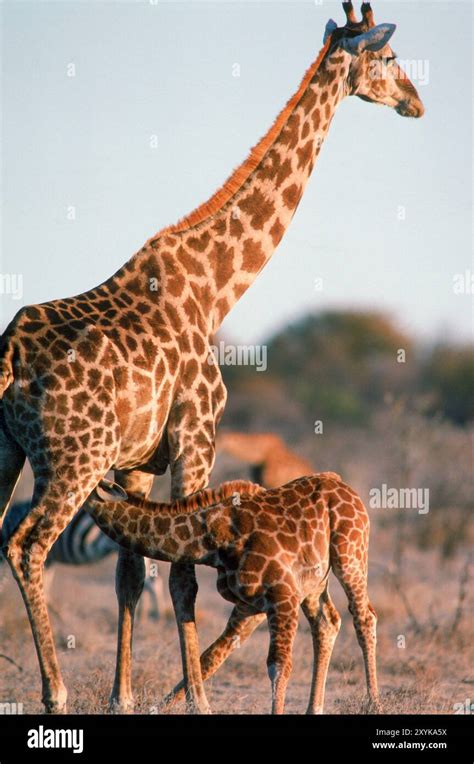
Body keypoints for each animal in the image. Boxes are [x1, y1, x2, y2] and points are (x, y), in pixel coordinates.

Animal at [88, 471, 378, 714]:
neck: (210, 538)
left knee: (364, 617)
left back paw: (373, 704)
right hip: (314, 586)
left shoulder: (282, 594)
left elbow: (278, 665)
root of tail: (342, 484)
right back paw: (313, 709)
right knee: (327, 623)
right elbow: (211, 655)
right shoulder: (253, 602)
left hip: (350, 556)